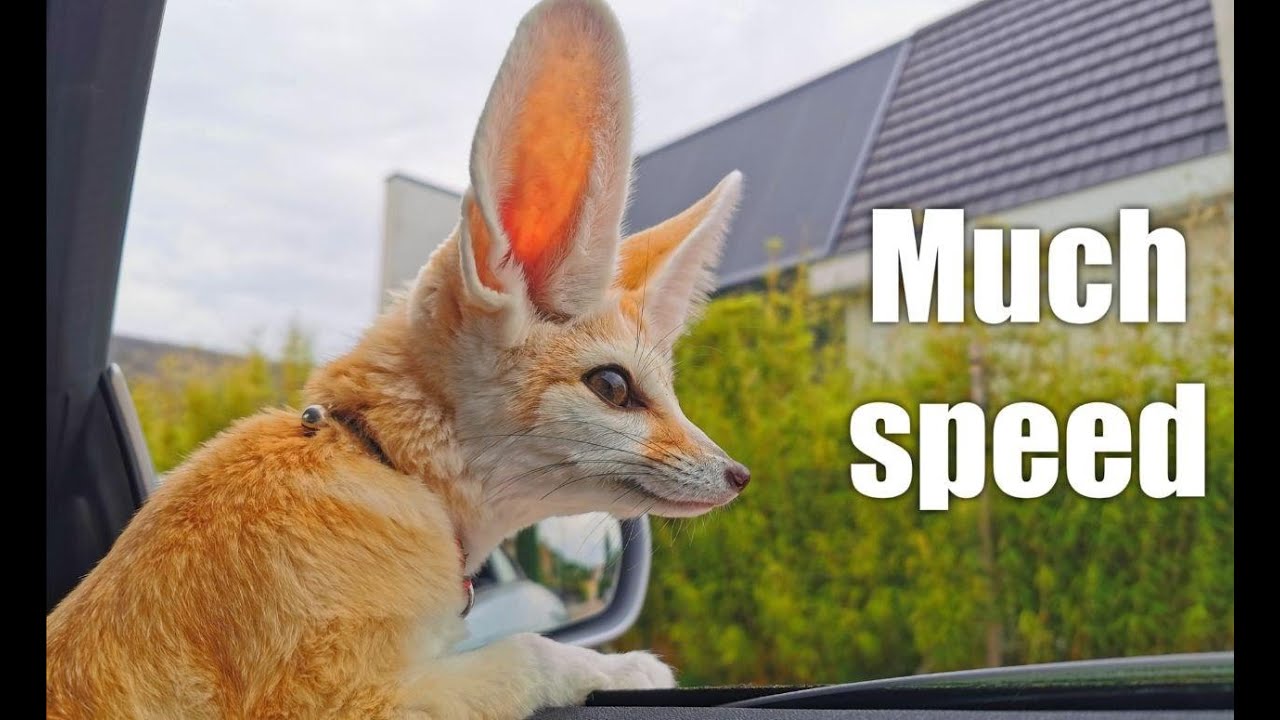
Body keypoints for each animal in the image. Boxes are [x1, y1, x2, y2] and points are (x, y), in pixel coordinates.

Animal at [46, 0, 750, 717]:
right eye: (612, 386)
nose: (739, 474)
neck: (382, 458)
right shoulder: (347, 701)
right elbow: (527, 650)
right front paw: (625, 667)